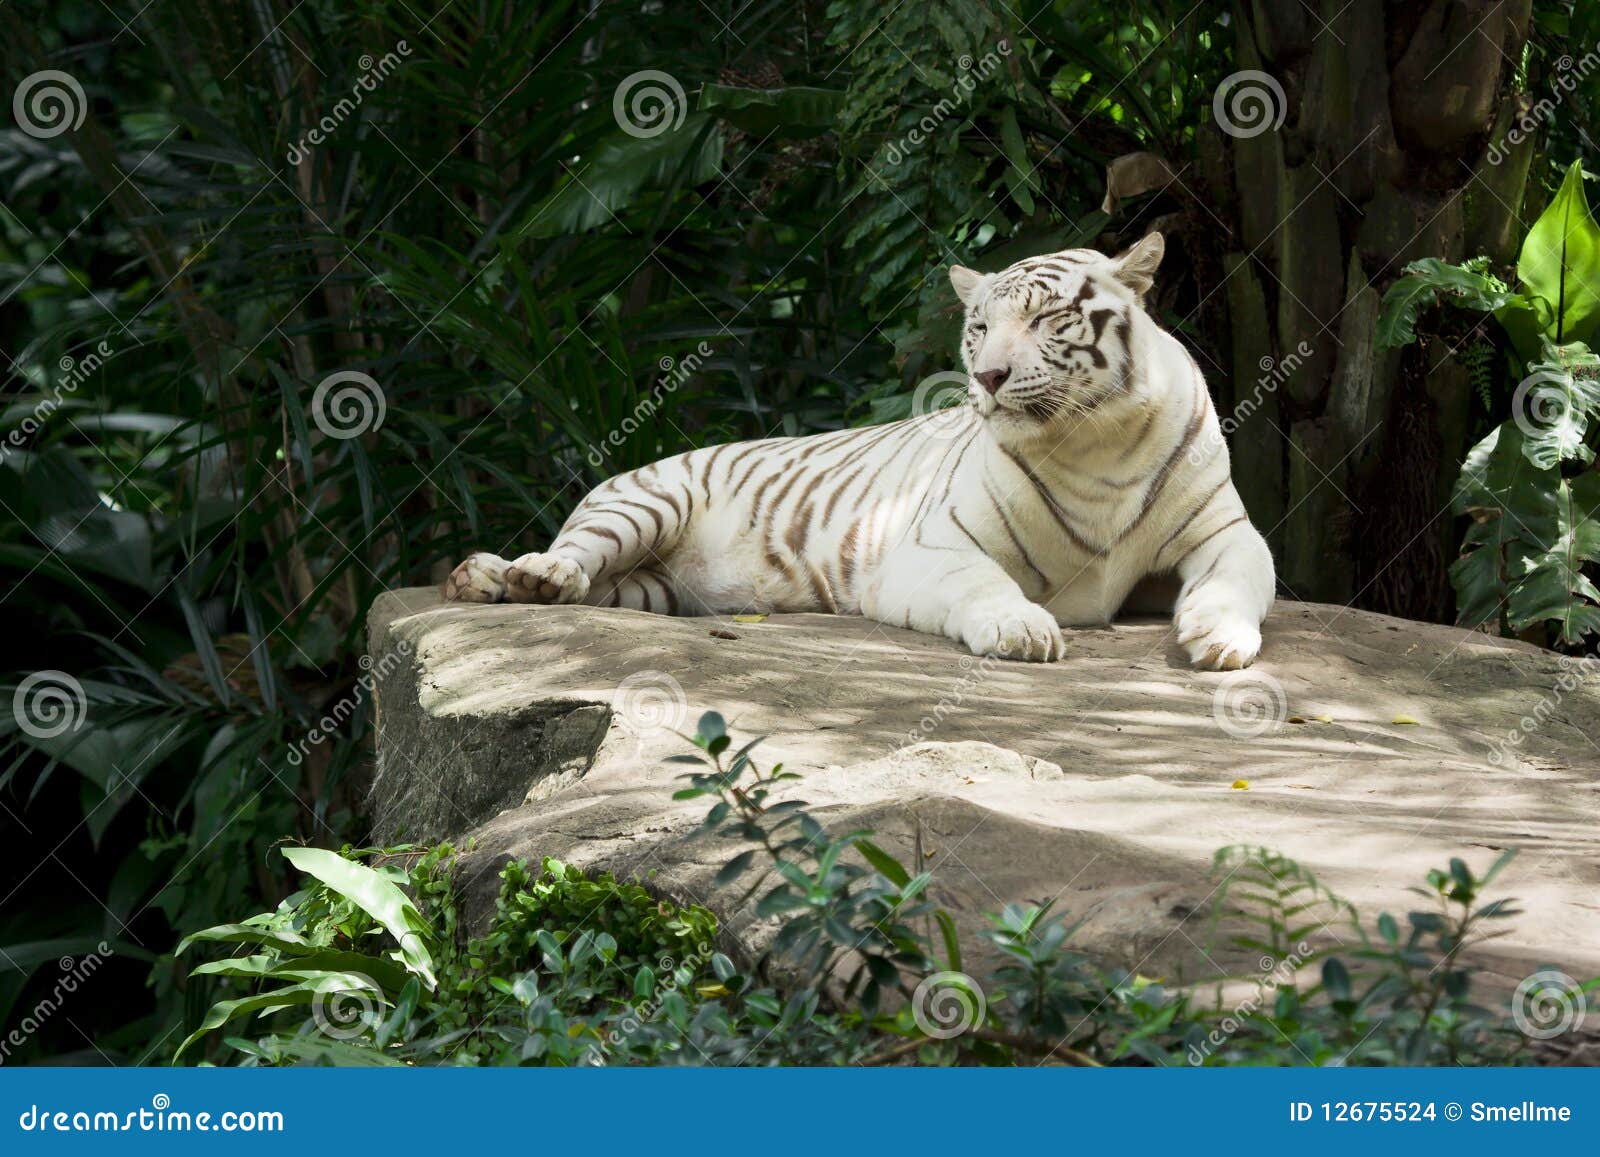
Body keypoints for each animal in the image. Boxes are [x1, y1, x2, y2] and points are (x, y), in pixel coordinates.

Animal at [443, 232, 1275, 669]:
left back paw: (492, 580)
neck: (1093, 443)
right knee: (569, 552)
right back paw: (516, 573)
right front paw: (1022, 629)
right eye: (979, 326)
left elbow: (1237, 581)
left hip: (652, 589)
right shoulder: (931, 544)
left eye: (1046, 319)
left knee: (592, 586)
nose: (987, 375)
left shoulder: (1229, 533)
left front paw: (1218, 635)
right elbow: (984, 582)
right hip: (643, 500)